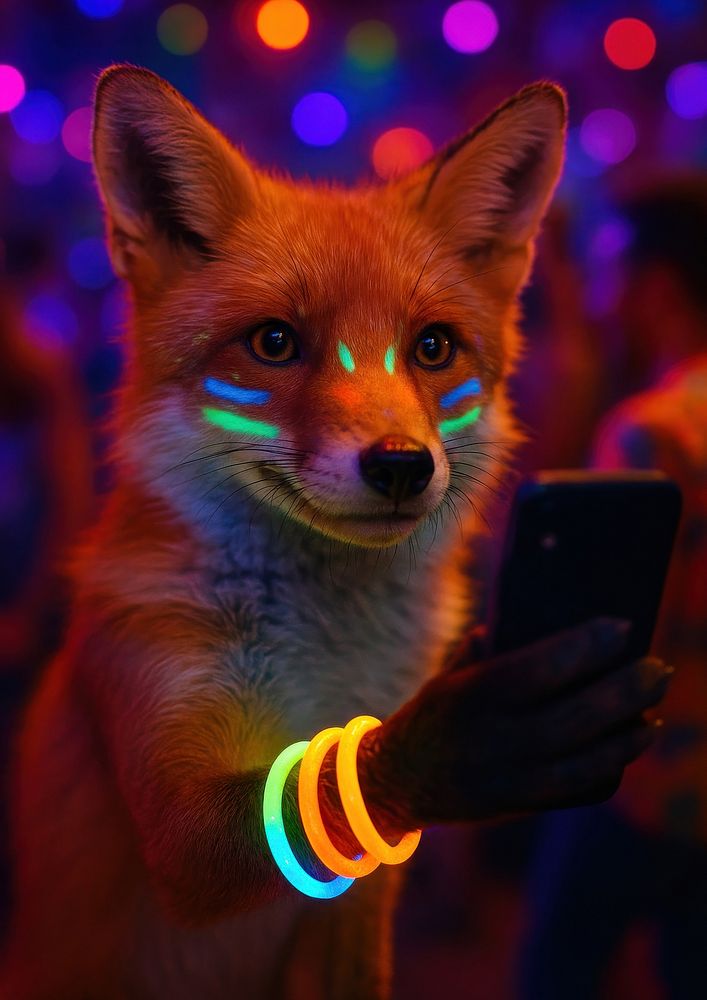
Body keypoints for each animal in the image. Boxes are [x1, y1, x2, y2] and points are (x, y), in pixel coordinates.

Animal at [1, 66, 671, 999]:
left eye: (432, 348)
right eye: (274, 342)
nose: (400, 466)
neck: (326, 663)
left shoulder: (361, 895)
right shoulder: (172, 807)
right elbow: (292, 803)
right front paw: (469, 740)